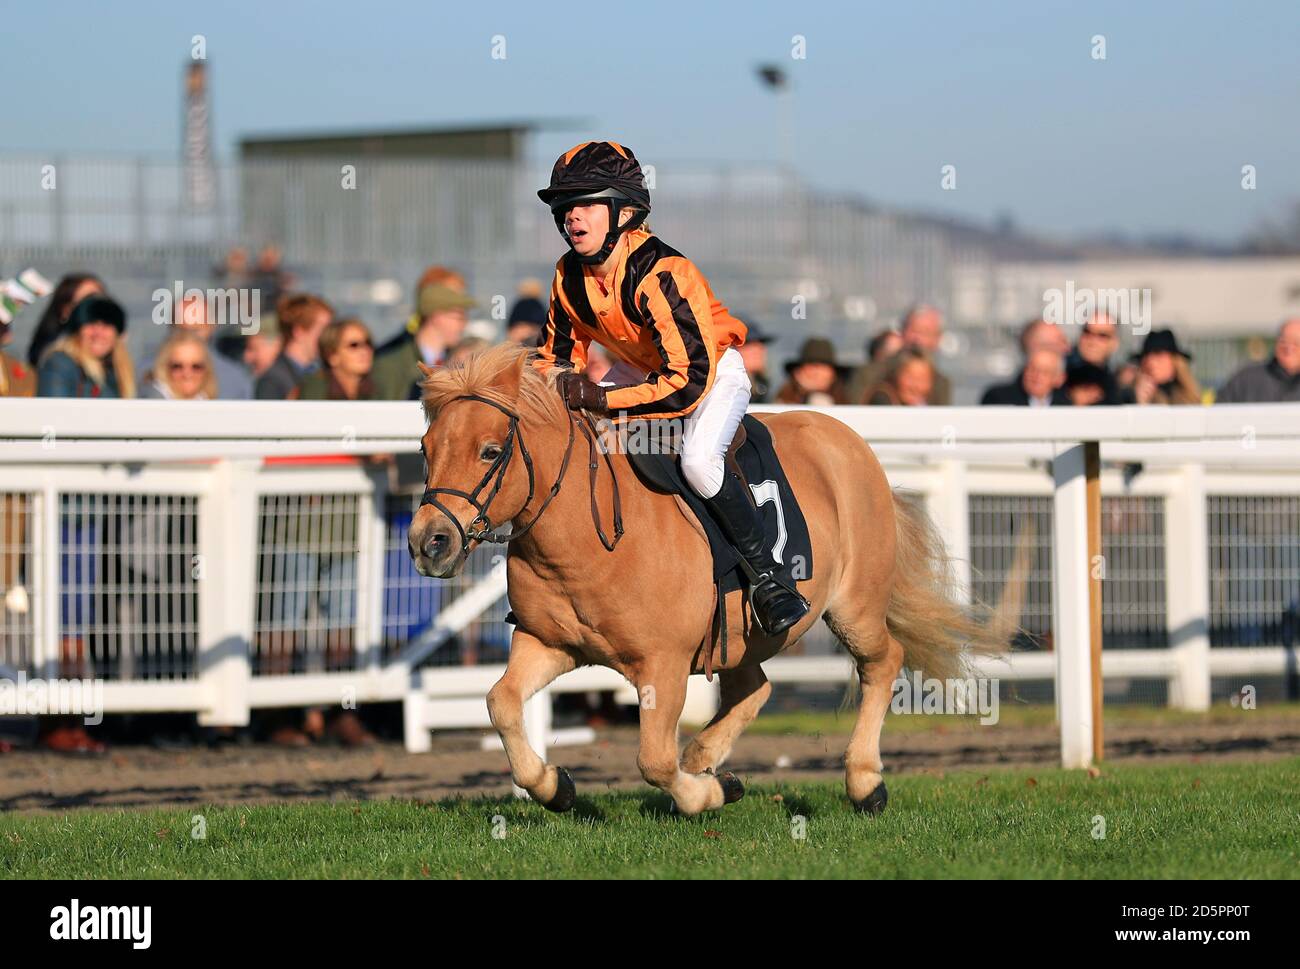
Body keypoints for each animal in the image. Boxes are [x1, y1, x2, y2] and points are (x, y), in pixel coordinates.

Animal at [408, 343, 1001, 816]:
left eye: (490, 450)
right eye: (425, 449)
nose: (428, 542)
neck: (587, 535)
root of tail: (846, 439)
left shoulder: (664, 665)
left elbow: (653, 758)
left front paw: (705, 794)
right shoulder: (547, 643)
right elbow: (501, 703)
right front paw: (556, 786)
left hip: (854, 607)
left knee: (882, 663)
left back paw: (863, 780)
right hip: (745, 635)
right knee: (755, 687)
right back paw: (710, 761)